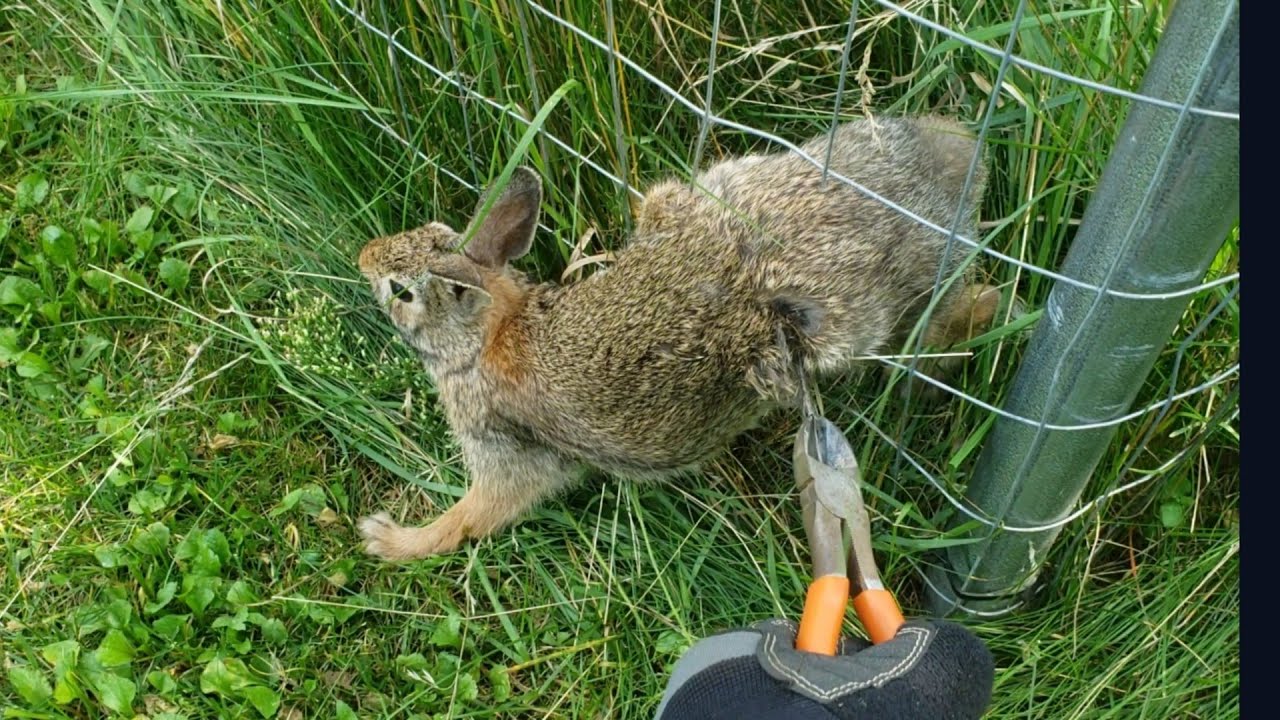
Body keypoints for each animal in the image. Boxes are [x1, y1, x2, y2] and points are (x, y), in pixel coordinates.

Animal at [355, 115, 1002, 561]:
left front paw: (391, 540)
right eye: (432, 230)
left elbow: (476, 514)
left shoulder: (503, 449)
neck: (484, 337)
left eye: (400, 292)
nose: (364, 258)